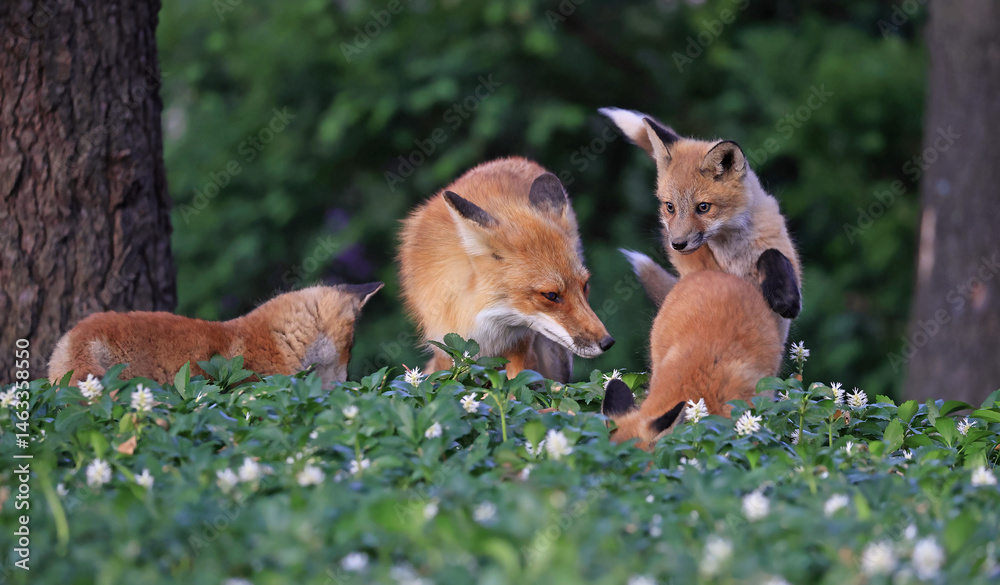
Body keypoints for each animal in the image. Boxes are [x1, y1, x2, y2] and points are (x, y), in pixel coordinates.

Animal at [398, 157, 614, 382]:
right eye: (551, 295)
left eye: (585, 285)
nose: (607, 342)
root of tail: (515, 159)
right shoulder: (444, 346)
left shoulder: (520, 345)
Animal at [600, 107, 802, 345]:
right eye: (670, 207)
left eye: (703, 207)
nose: (677, 244)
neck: (735, 254)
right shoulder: (704, 271)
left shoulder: (784, 253)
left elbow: (772, 254)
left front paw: (785, 297)